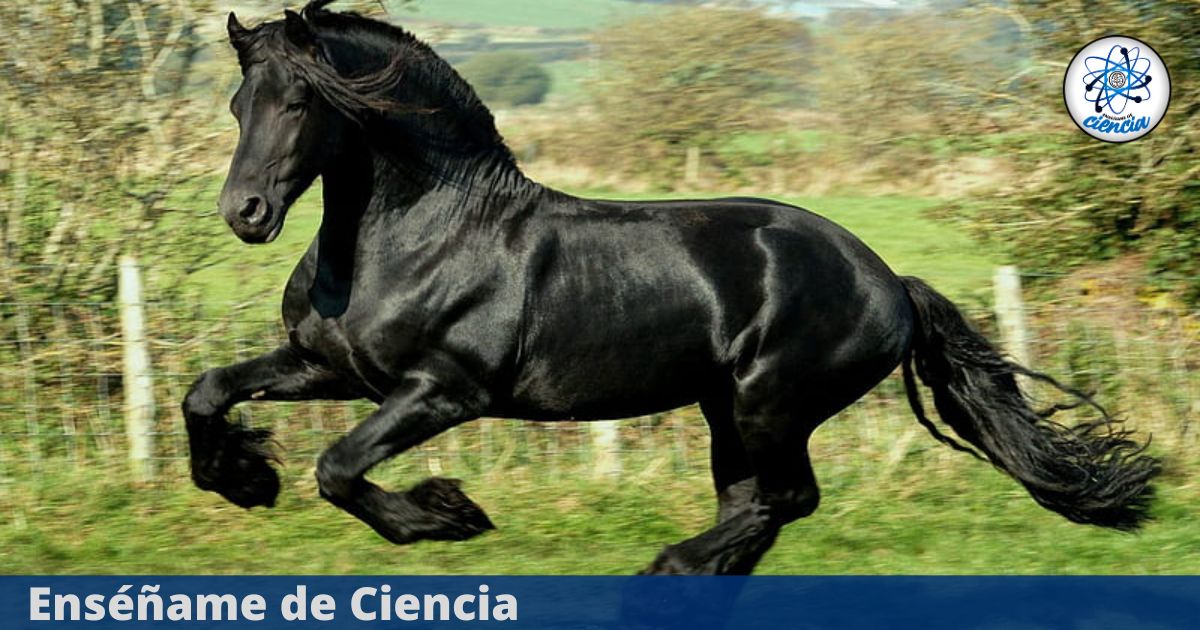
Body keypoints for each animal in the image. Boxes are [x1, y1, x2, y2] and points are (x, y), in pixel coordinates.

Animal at [183, 0, 1160, 575]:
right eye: (237, 105)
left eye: (301, 103)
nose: (245, 213)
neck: (418, 234)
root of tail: (888, 279)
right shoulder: (333, 369)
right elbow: (207, 392)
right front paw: (242, 480)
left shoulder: (445, 392)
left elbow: (340, 468)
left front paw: (449, 516)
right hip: (727, 410)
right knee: (758, 504)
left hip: (770, 402)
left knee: (783, 499)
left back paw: (671, 567)